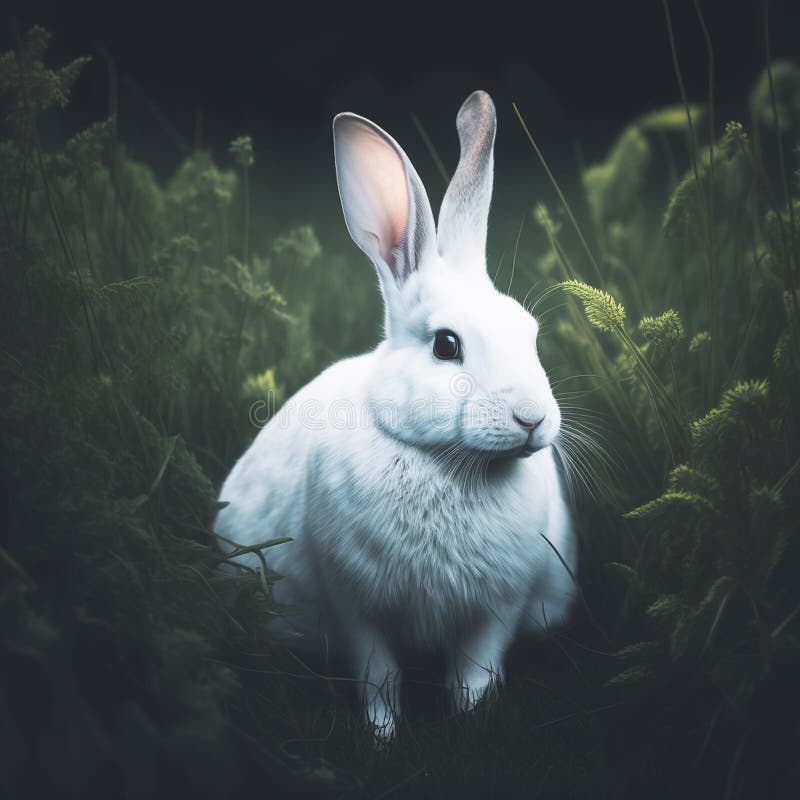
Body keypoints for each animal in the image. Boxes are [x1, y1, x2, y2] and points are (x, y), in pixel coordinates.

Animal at [214, 90, 578, 743]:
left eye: (530, 333)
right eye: (446, 345)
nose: (531, 418)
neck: (446, 464)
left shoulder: (496, 610)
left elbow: (474, 674)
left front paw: (469, 725)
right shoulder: (355, 607)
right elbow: (379, 674)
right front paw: (383, 738)